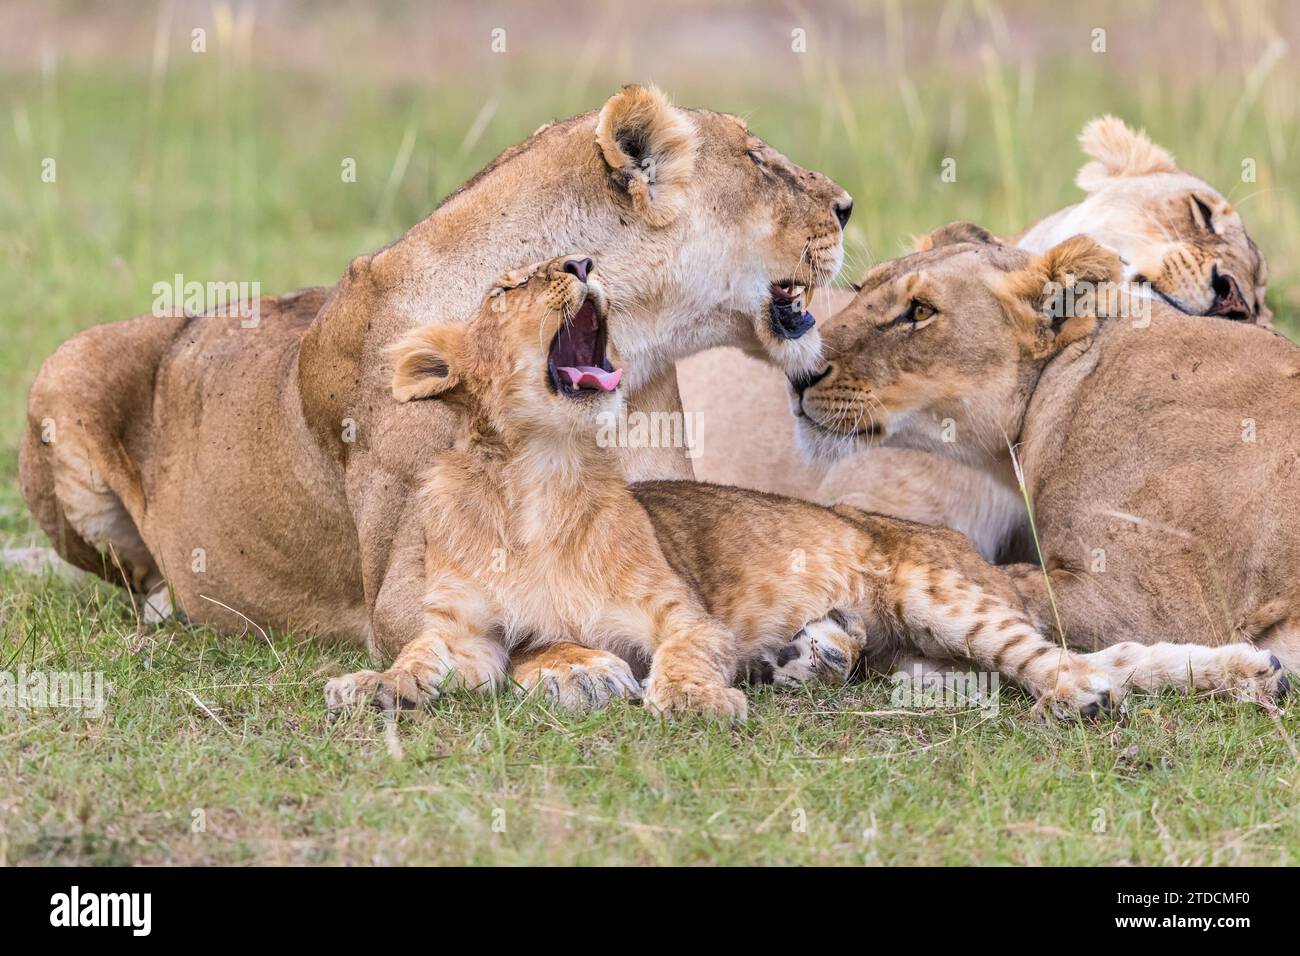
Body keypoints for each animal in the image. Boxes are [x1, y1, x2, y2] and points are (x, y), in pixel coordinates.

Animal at [19, 86, 852, 692]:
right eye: (760, 162)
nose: (848, 207)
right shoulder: (403, 589)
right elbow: (509, 615)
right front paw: (576, 667)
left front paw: (810, 641)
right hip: (64, 370)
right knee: (137, 580)